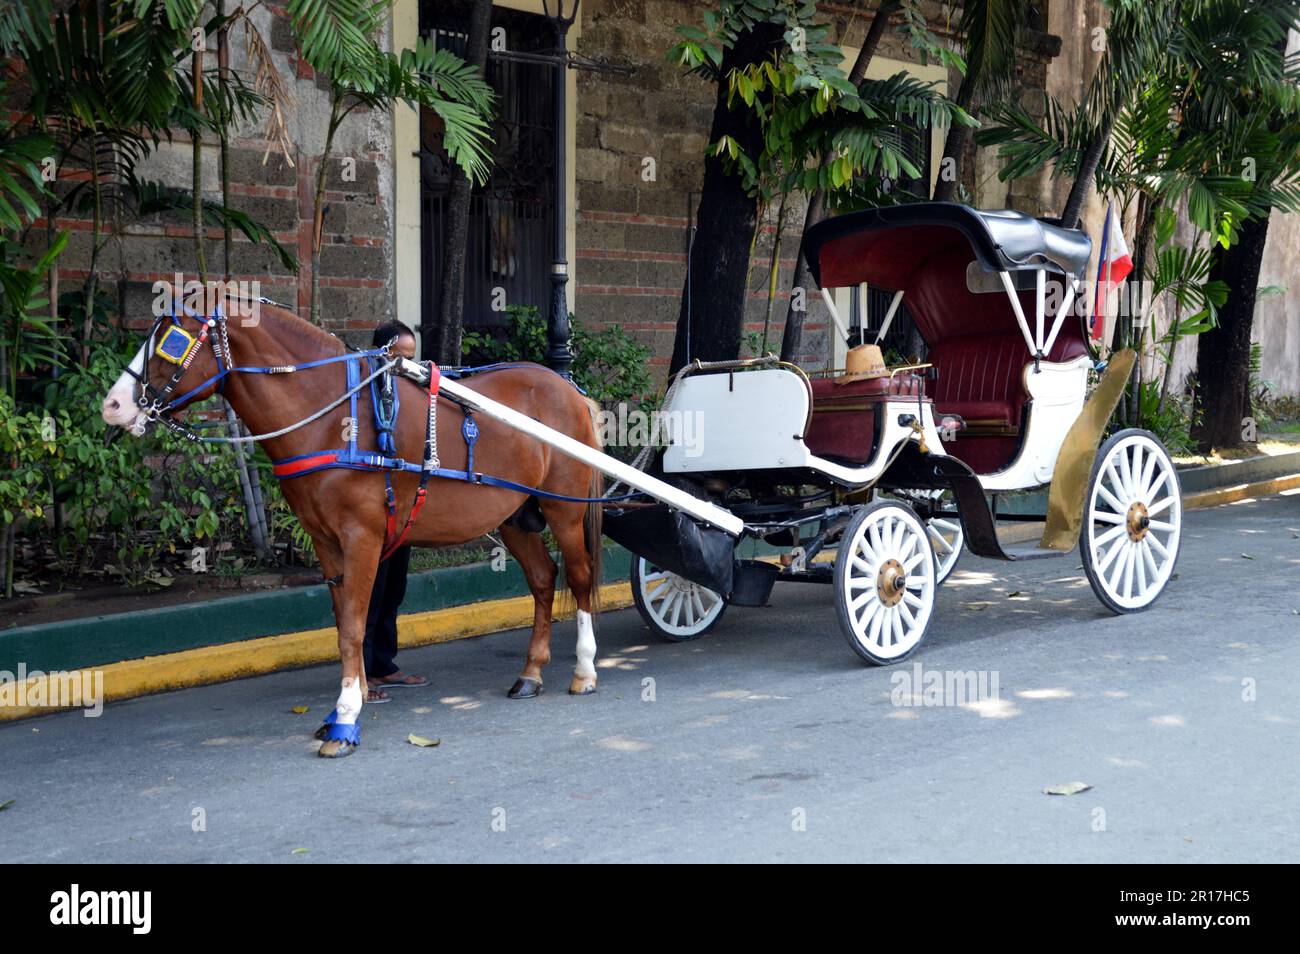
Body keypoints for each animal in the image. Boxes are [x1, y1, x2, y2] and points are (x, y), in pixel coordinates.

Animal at [101, 287, 605, 757]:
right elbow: (345, 621)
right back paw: (531, 672)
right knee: (543, 579)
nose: (112, 405)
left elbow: (356, 624)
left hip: (564, 507)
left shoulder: (362, 535)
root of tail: (567, 387)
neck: (331, 414)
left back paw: (584, 670)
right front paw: (356, 695)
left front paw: (345, 717)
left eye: (172, 341)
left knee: (580, 577)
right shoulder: (325, 541)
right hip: (515, 517)